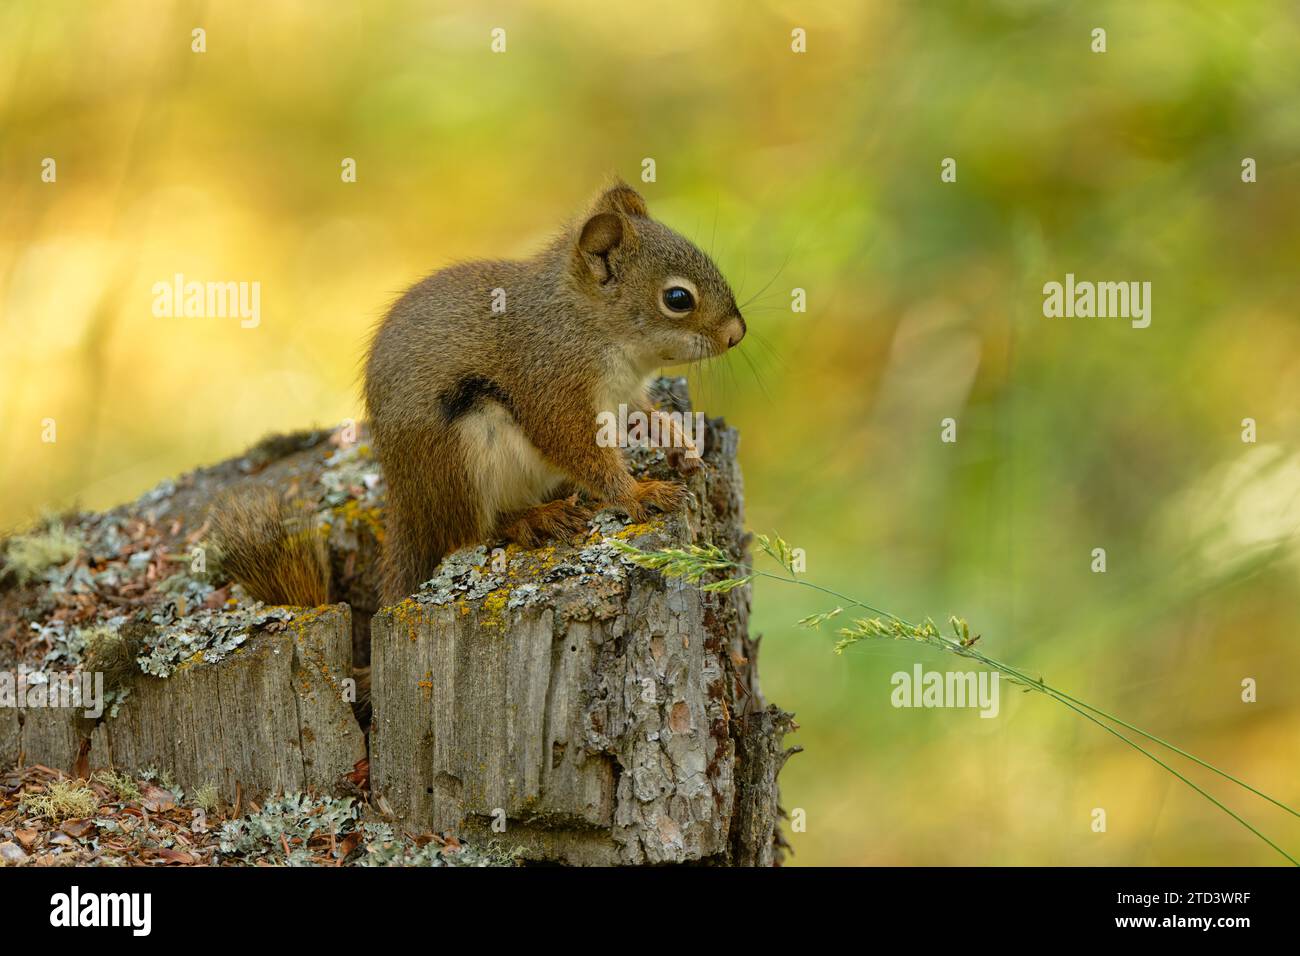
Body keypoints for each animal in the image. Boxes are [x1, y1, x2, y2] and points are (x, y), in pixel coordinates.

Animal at [213, 180, 745, 608]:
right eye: (678, 299)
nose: (737, 334)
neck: (585, 322)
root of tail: (408, 507)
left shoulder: (625, 395)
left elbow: (649, 419)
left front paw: (682, 448)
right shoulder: (551, 383)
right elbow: (577, 448)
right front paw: (638, 492)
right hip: (463, 456)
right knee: (470, 533)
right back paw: (532, 520)